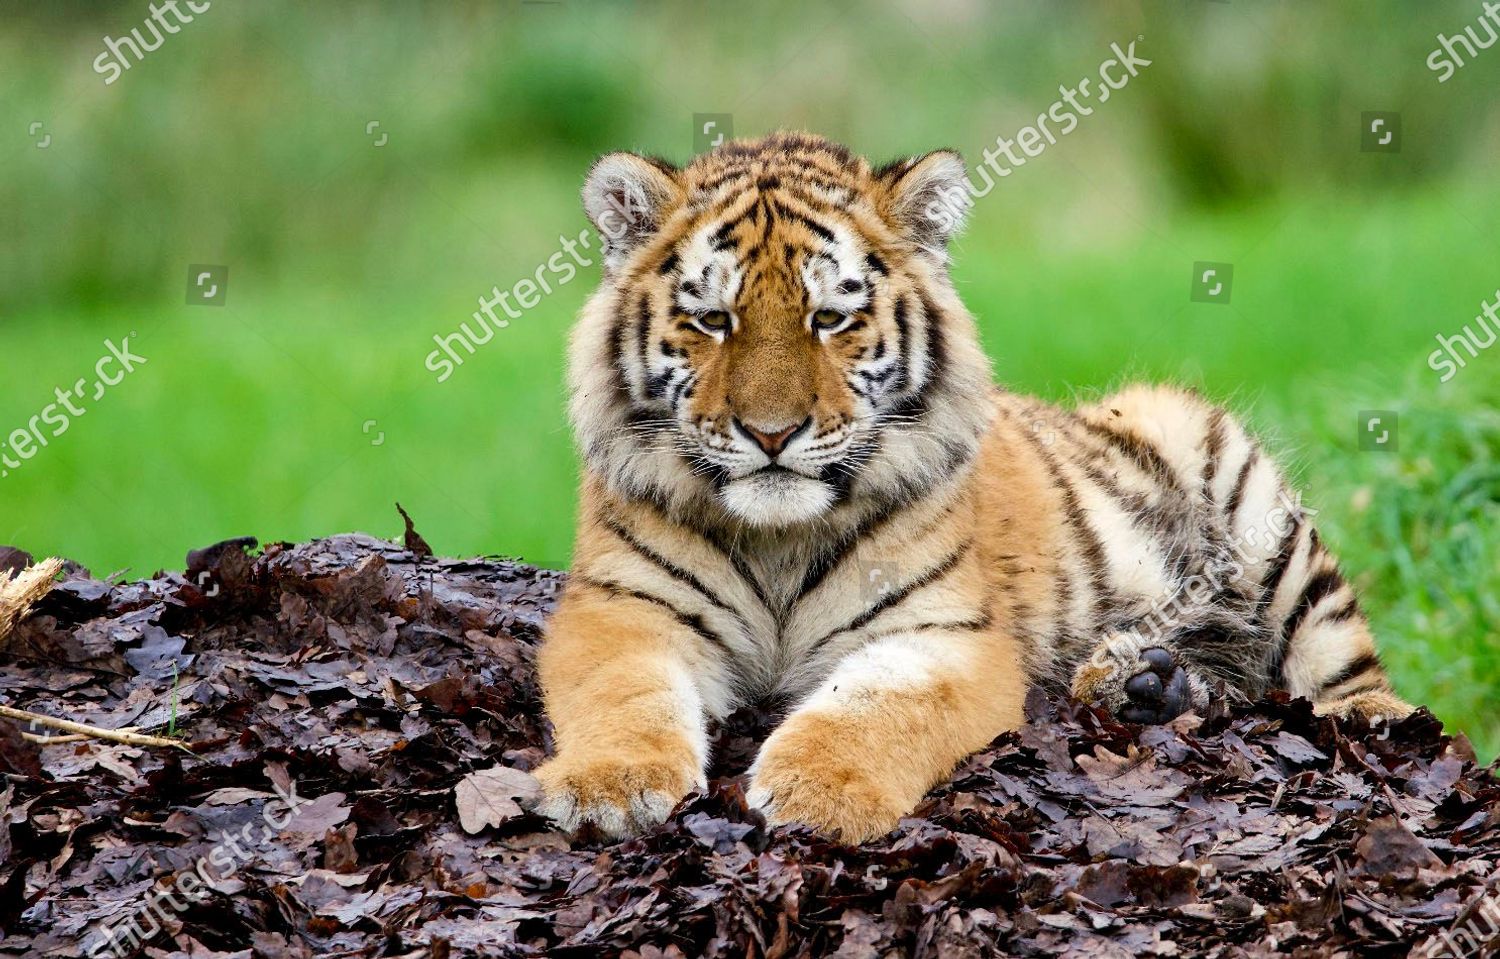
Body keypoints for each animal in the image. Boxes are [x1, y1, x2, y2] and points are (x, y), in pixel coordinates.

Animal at [532, 132, 1413, 844]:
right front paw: (609, 787)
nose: (771, 433)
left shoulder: (943, 632)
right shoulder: (623, 608)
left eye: (830, 319)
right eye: (713, 320)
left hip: (1247, 498)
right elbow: (625, 694)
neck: (779, 536)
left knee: (1347, 678)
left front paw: (820, 792)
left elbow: (871, 709)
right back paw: (1145, 682)